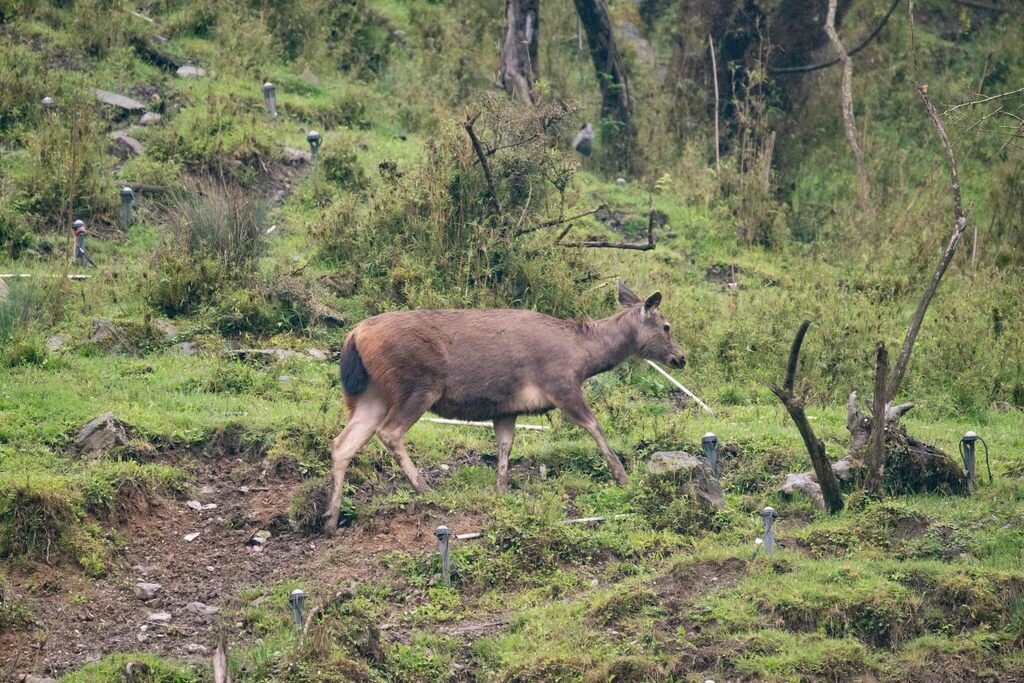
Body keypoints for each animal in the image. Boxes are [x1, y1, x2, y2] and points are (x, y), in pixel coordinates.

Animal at [322, 280, 686, 534]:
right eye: (666, 326)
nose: (681, 358)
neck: (584, 358)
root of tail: (353, 335)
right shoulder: (561, 384)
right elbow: (594, 426)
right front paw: (622, 476)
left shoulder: (505, 407)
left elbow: (504, 445)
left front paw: (500, 489)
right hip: (417, 384)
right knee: (390, 432)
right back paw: (425, 488)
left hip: (371, 395)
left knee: (342, 443)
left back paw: (331, 518)